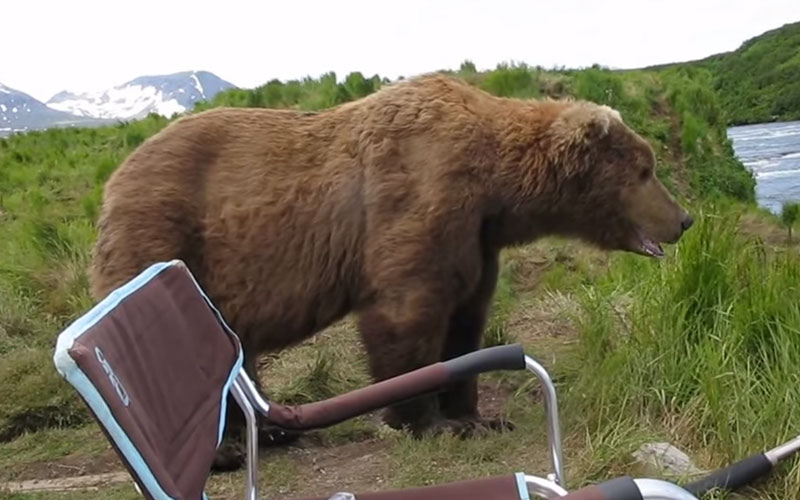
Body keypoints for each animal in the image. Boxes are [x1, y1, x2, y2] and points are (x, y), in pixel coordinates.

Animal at [88, 73, 693, 471]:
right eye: (645, 169)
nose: (683, 219)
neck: (498, 187)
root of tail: (114, 178)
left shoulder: (476, 239)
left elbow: (466, 323)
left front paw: (477, 415)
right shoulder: (419, 197)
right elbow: (407, 315)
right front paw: (428, 422)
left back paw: (271, 431)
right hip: (166, 237)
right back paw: (227, 451)